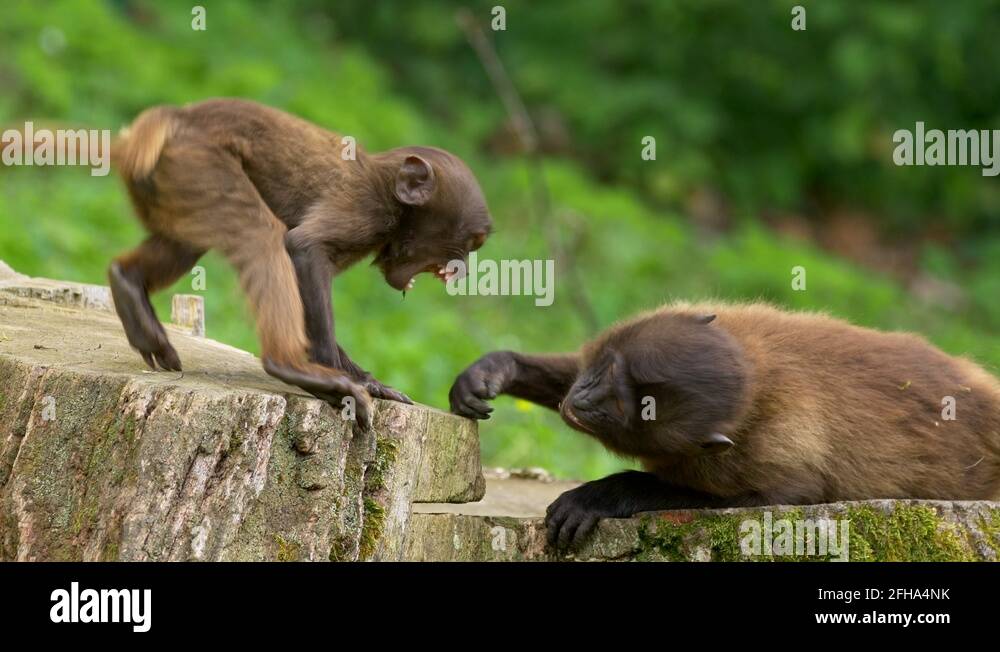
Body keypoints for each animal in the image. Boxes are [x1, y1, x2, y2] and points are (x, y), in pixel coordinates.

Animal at [111, 98, 492, 429]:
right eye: (471, 242)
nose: (464, 267)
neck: (392, 194)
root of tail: (179, 116)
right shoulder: (367, 210)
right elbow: (303, 249)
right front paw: (335, 375)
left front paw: (365, 379)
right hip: (197, 160)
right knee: (260, 236)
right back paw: (288, 366)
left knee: (187, 242)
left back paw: (127, 283)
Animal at [449, 301, 1000, 549]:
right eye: (608, 371)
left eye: (627, 408)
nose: (582, 401)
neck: (758, 378)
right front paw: (496, 369)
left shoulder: (772, 442)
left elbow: (780, 496)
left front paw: (605, 494)